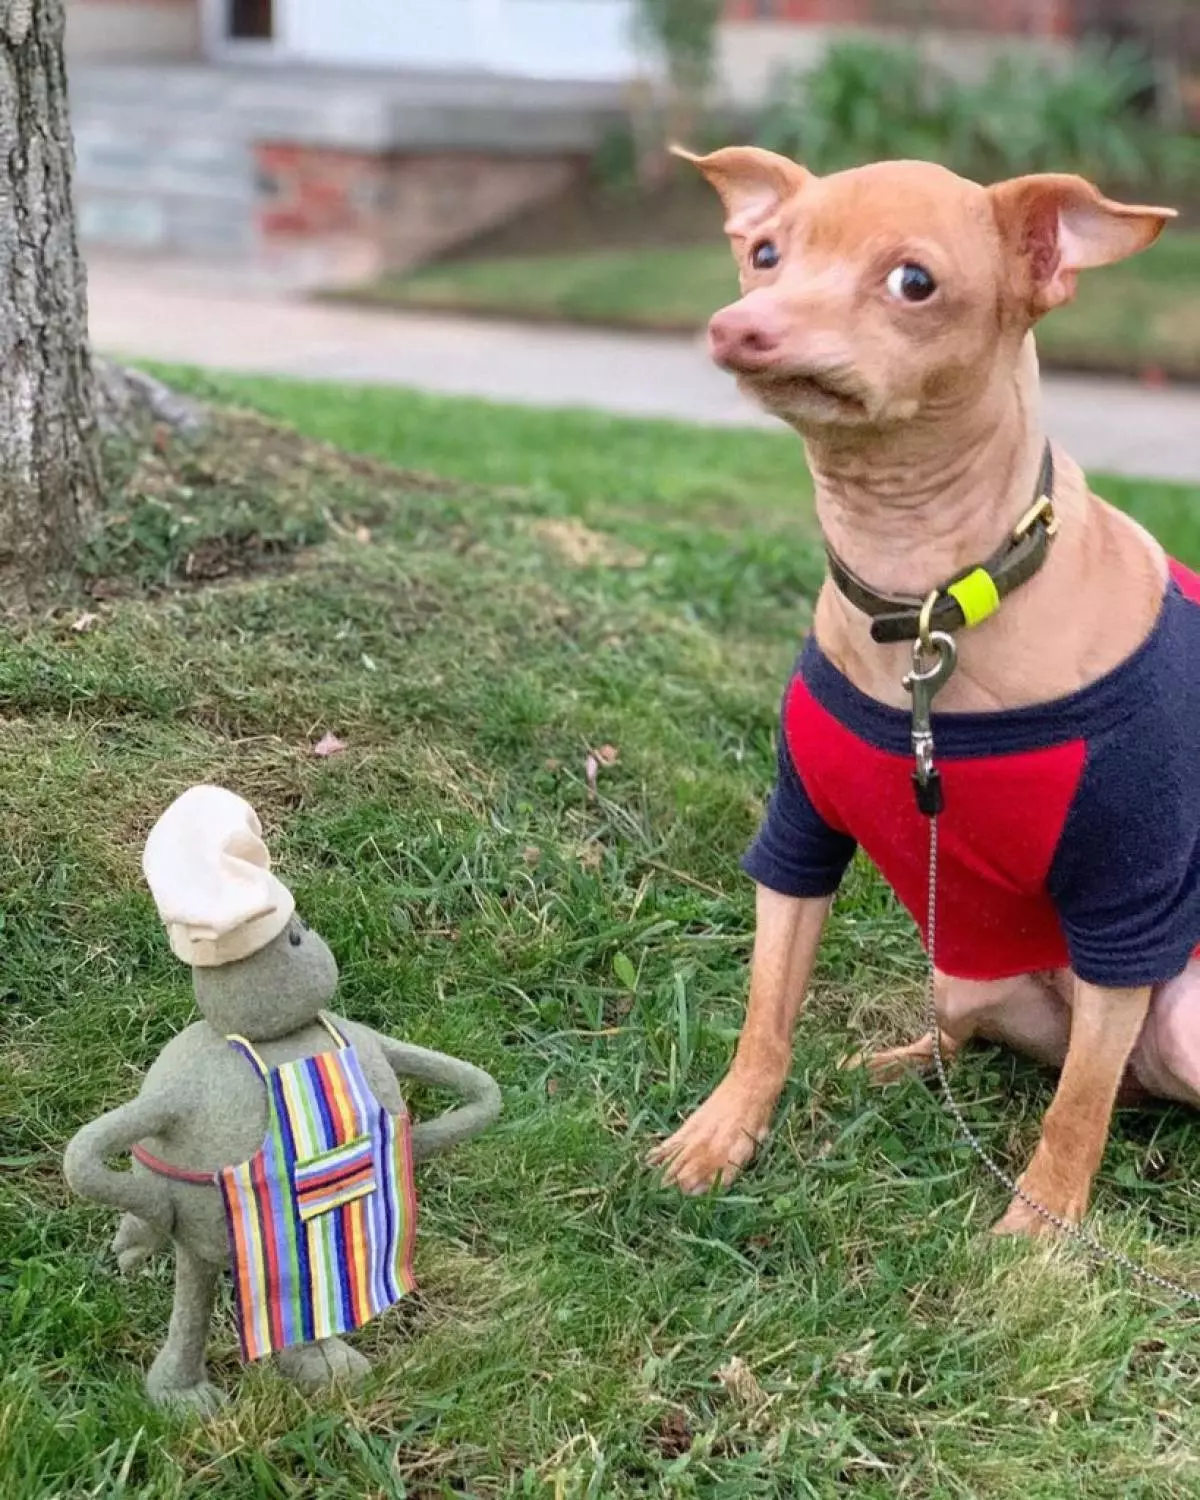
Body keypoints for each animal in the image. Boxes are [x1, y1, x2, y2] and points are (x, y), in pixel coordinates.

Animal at [651, 146, 1200, 1236]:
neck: (924, 600)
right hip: (962, 971)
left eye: (914, 282)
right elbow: (766, 1015)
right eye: (764, 255)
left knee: (1102, 1080)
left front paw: (1040, 1231)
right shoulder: (798, 841)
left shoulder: (1132, 909)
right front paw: (724, 1132)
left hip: (1181, 1015)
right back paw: (895, 1062)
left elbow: (1075, 1110)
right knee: (1002, 1048)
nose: (740, 325)